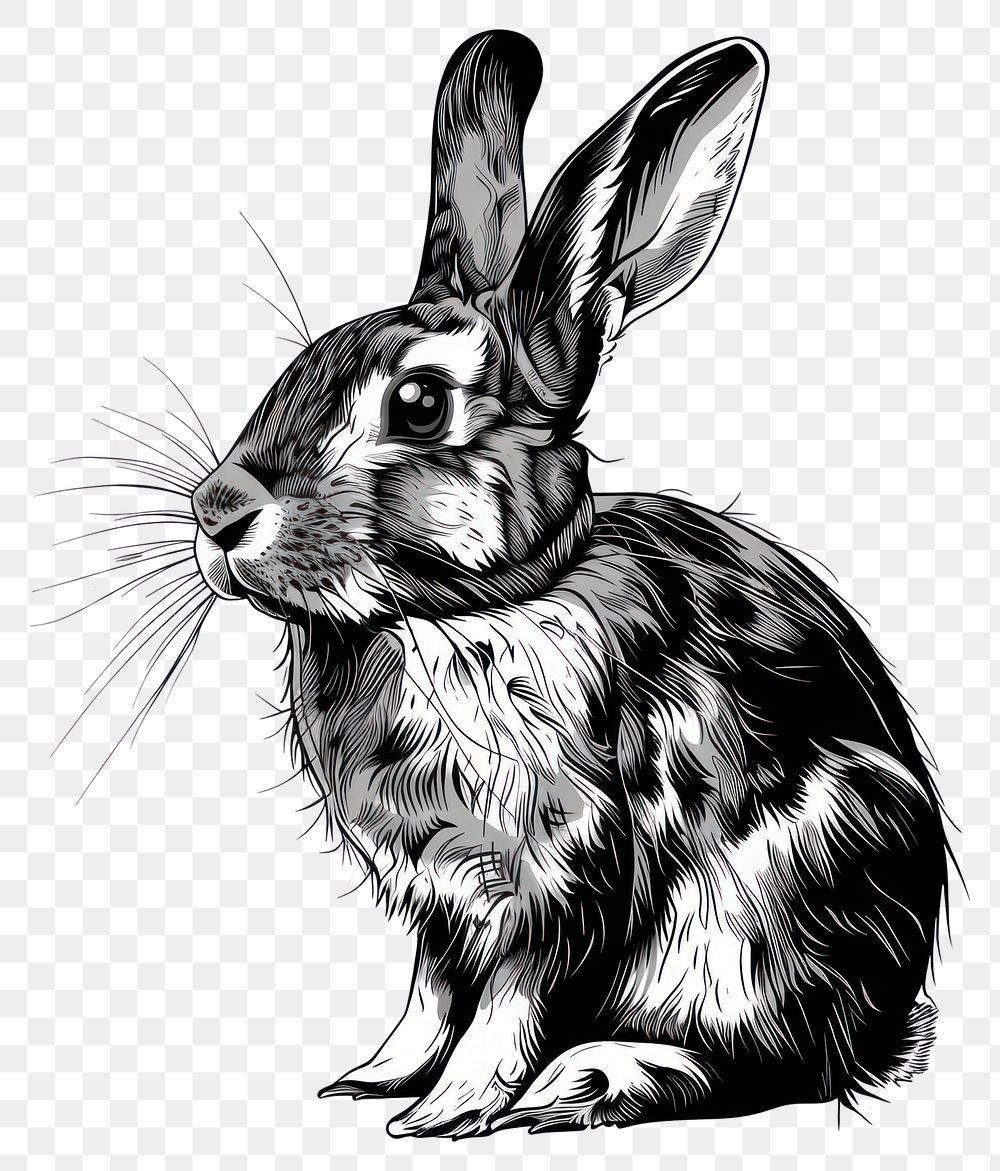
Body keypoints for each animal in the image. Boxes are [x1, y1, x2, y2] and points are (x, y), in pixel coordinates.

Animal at [189, 31, 949, 1137]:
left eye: (420, 403)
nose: (217, 511)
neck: (454, 611)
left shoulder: (560, 870)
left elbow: (510, 999)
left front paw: (447, 1110)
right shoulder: (440, 900)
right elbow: (434, 992)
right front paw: (377, 1076)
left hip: (776, 908)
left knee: (780, 1060)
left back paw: (594, 1078)